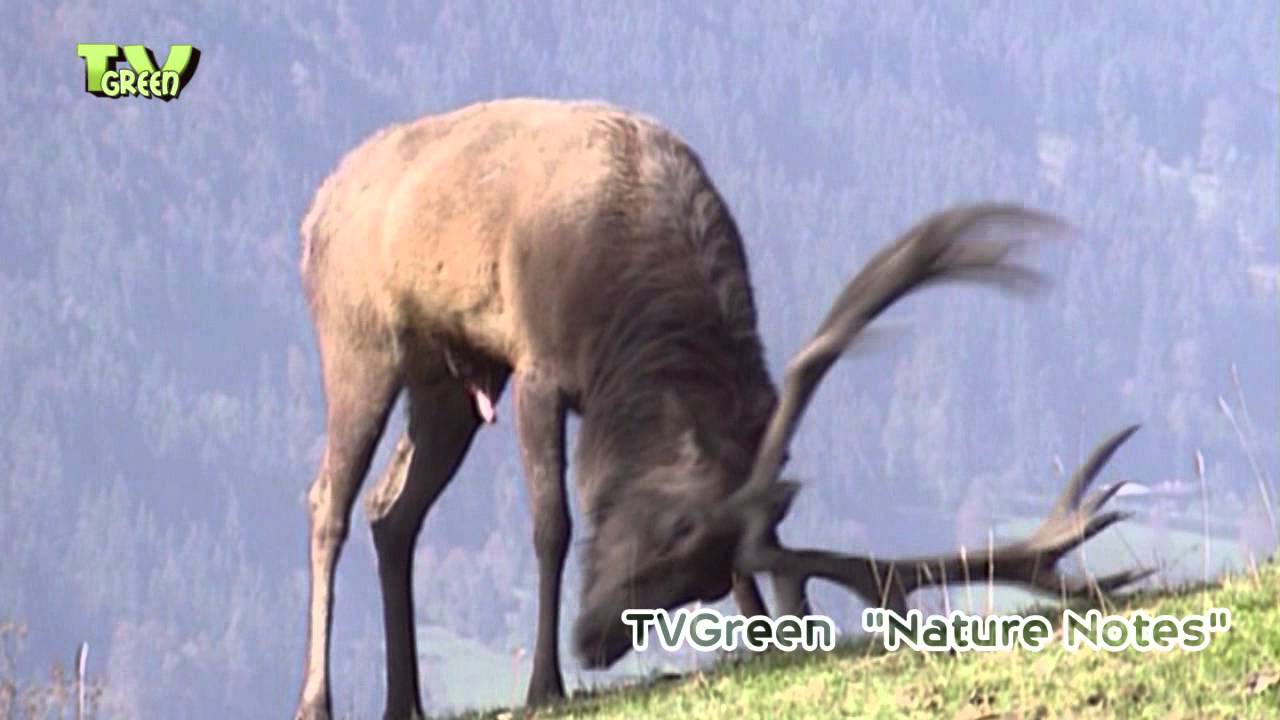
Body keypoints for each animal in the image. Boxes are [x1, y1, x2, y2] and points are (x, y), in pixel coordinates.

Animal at [294, 97, 1151, 720]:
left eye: (693, 581)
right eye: (662, 539)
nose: (592, 641)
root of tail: (314, 209)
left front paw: (766, 641)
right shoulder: (537, 367)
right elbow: (551, 526)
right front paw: (545, 686)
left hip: (447, 385)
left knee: (393, 512)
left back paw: (403, 701)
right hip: (358, 338)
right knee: (329, 500)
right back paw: (317, 700)